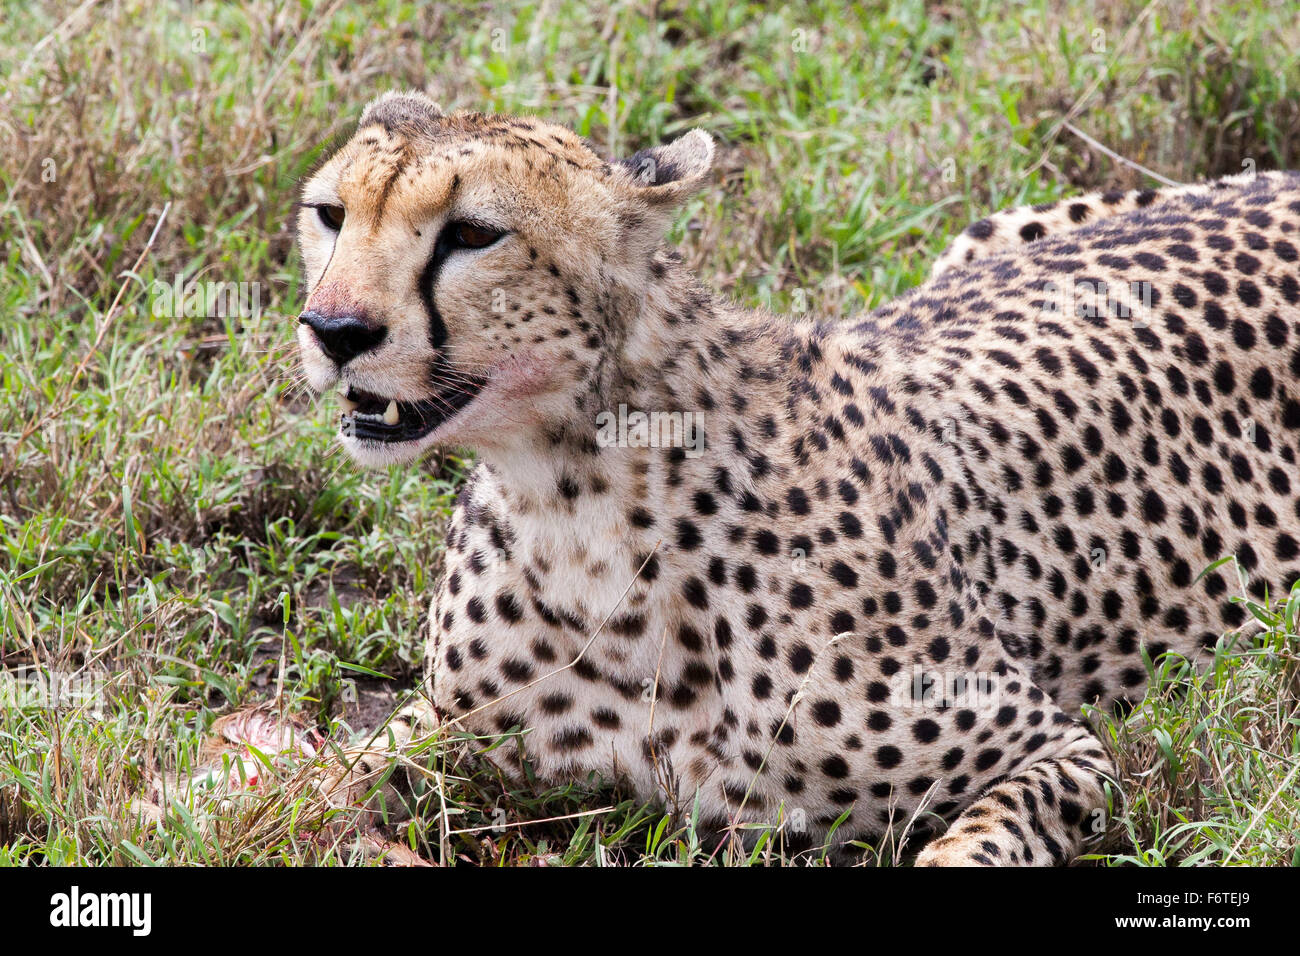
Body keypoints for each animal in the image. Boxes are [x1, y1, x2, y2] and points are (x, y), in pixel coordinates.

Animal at [292, 90, 1300, 865]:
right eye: (331, 215)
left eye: (472, 233)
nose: (334, 331)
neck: (573, 500)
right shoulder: (449, 720)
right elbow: (322, 777)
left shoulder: (1060, 747)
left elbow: (968, 845)